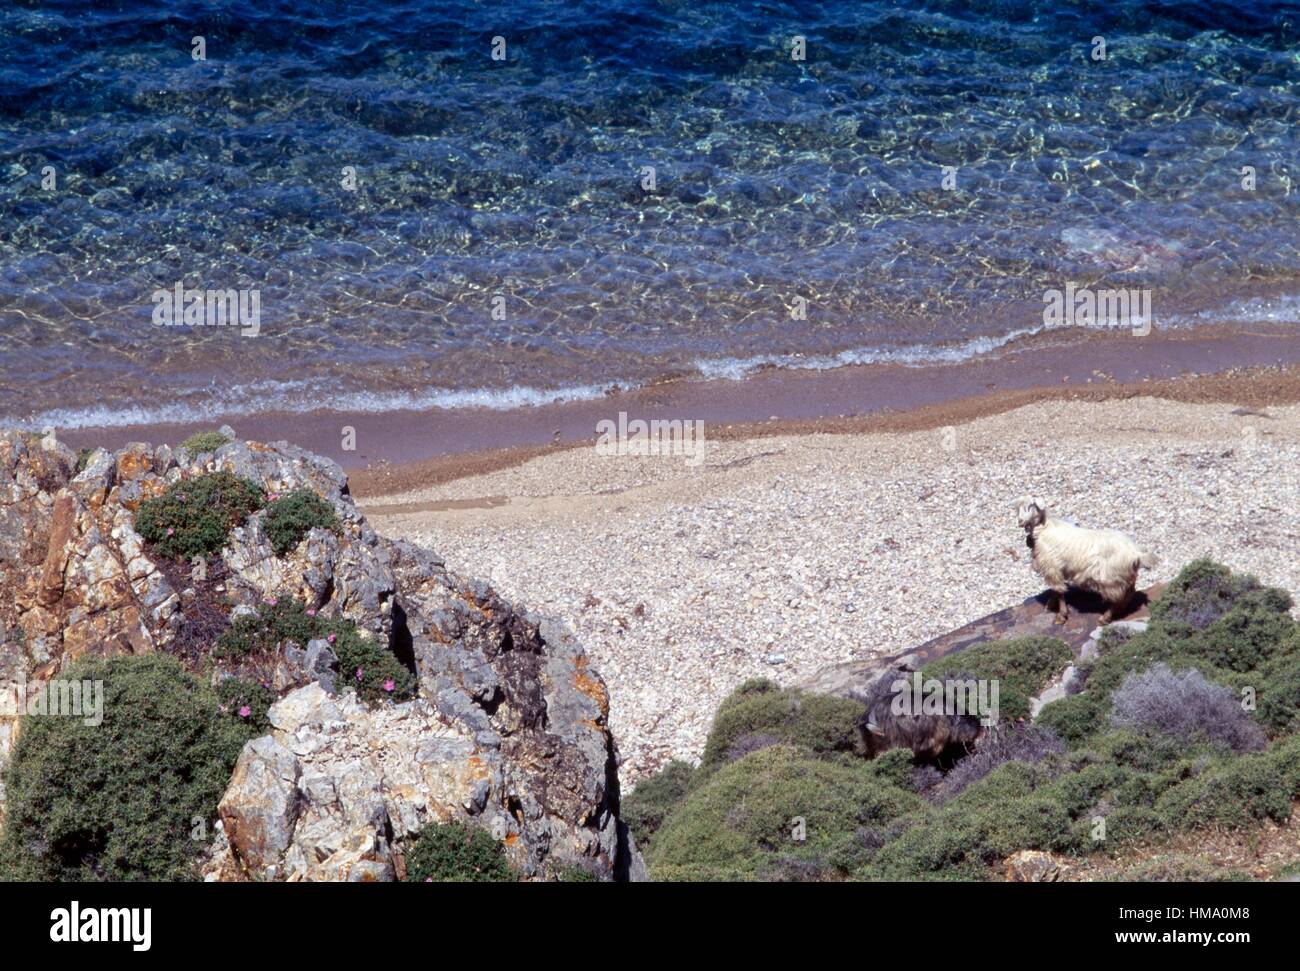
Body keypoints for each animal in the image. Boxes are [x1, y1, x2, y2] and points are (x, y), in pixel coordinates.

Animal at [1014, 496, 1158, 624]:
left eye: (1031, 506)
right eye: (1018, 508)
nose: (1020, 521)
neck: (1044, 529)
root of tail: (1136, 553)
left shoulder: (1052, 567)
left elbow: (1058, 590)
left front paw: (1061, 615)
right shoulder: (1054, 568)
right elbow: (1056, 590)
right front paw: (1050, 605)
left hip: (1112, 579)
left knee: (1118, 599)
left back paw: (1105, 618)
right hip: (1126, 577)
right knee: (1128, 594)